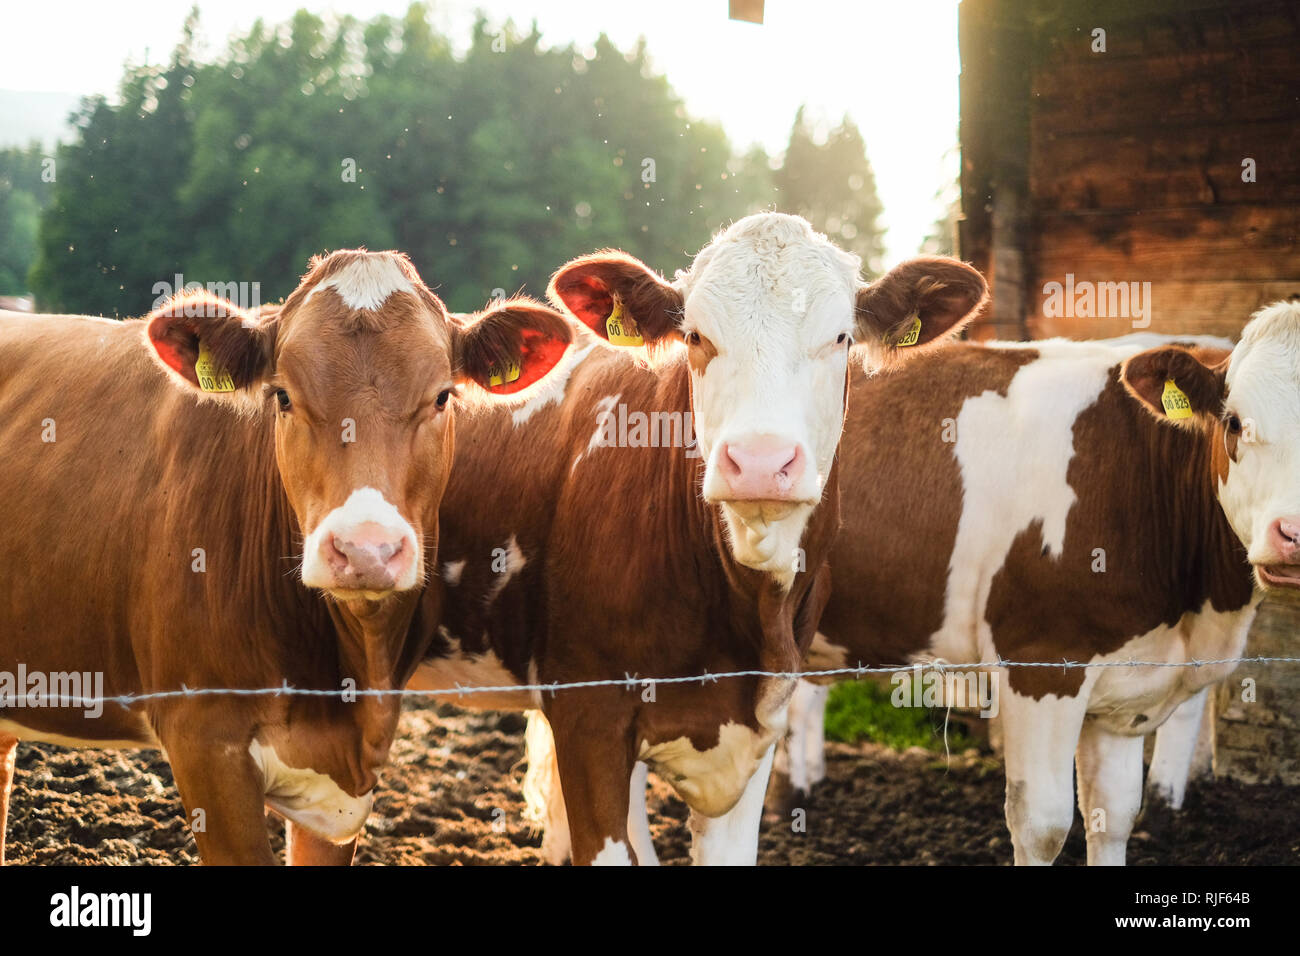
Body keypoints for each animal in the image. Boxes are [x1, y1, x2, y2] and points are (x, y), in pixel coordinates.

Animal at [526, 307, 1300, 865]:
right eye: (1235, 422)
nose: (1292, 531)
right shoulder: (1042, 657)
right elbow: (1045, 824)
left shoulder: (1124, 682)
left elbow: (1113, 820)